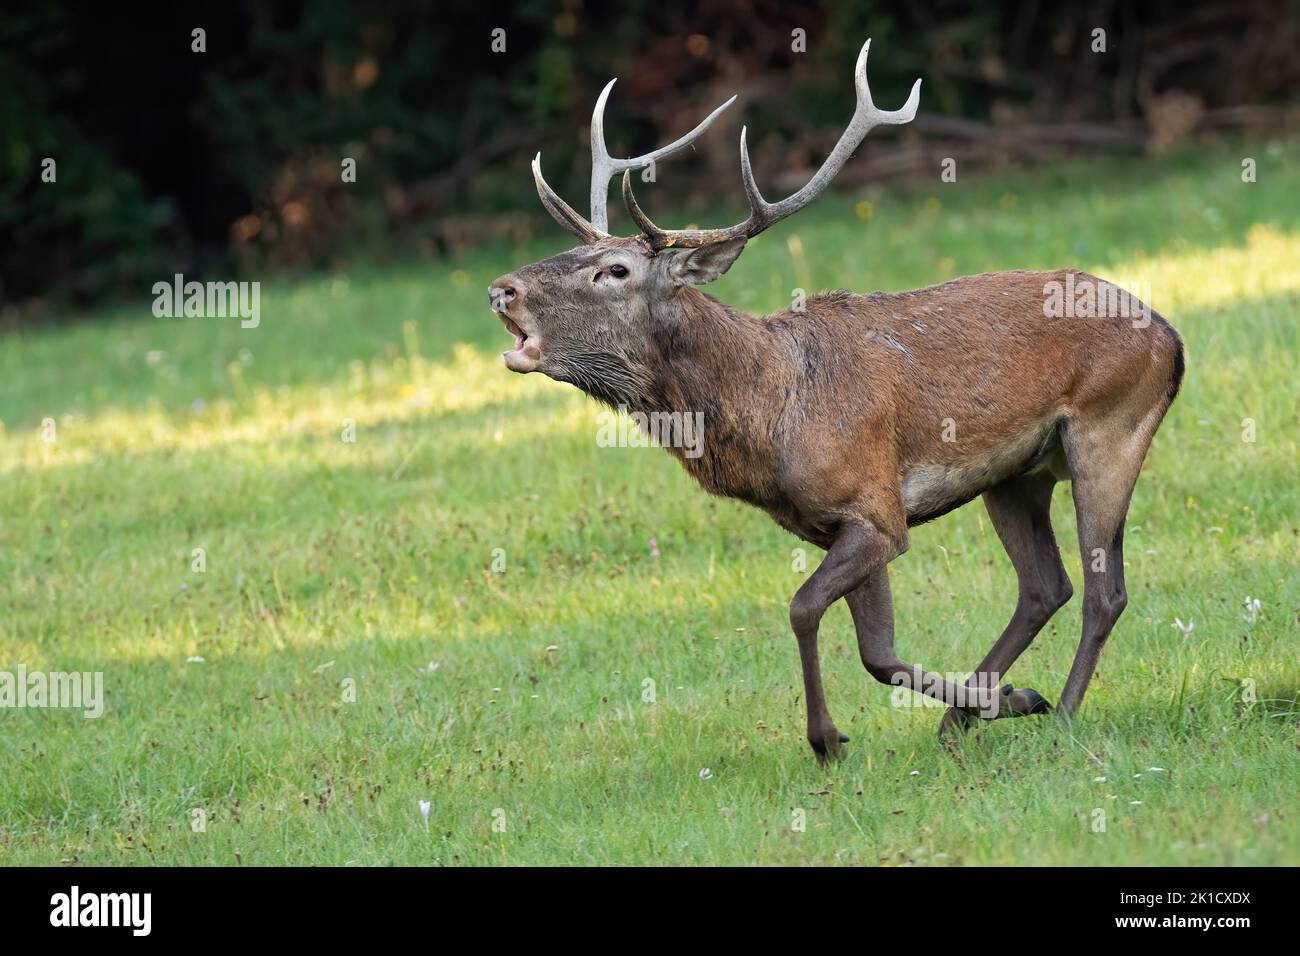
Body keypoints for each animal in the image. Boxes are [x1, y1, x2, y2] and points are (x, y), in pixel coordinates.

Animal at [488, 40, 1185, 761]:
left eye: (616, 270)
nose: (503, 289)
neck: (770, 417)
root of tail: (1170, 334)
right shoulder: (840, 522)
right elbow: (878, 650)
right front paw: (997, 702)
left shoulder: (874, 508)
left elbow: (805, 609)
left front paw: (827, 739)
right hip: (1015, 476)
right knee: (1046, 586)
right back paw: (972, 714)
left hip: (1109, 429)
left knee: (1105, 591)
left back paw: (1066, 713)